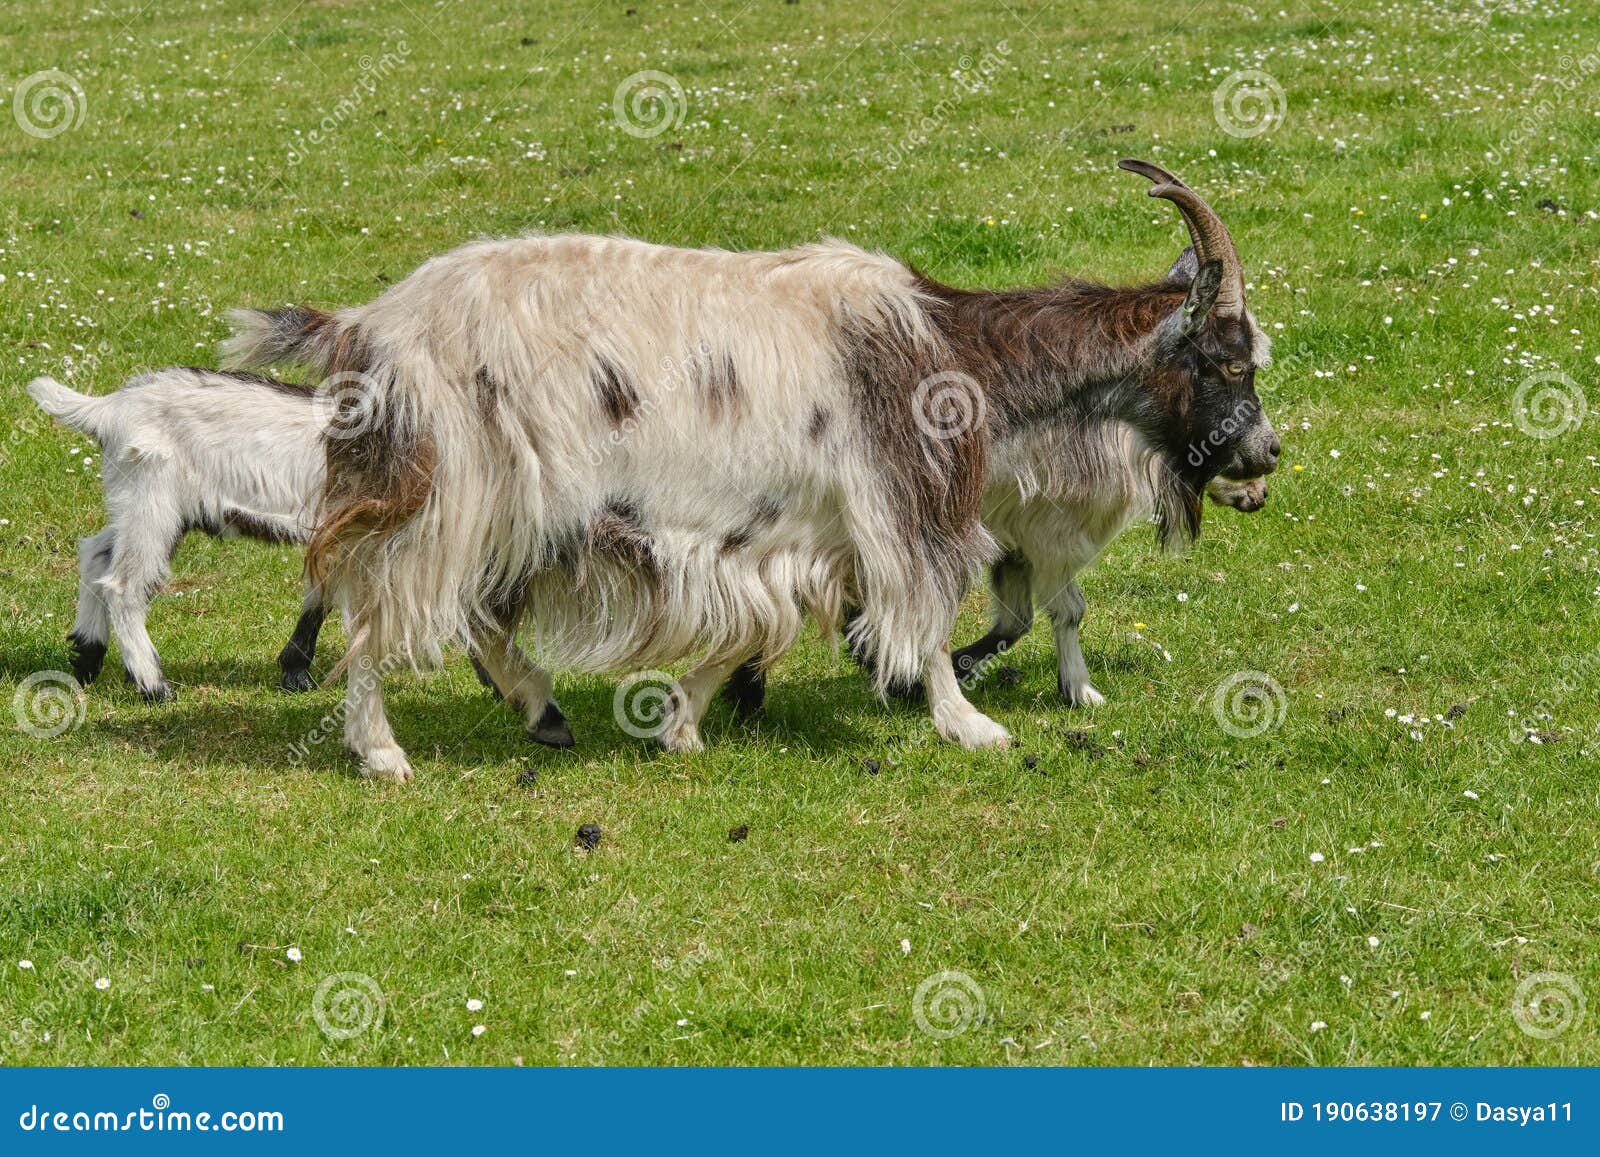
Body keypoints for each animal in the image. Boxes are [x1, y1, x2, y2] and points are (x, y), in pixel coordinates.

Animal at [222, 158, 1276, 782]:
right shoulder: (903, 508)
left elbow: (756, 628)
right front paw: (972, 725)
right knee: (380, 613)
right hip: (441, 497)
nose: (1265, 457)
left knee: (472, 612)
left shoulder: (796, 530)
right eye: (1229, 360)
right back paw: (382, 750)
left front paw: (683, 720)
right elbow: (928, 621)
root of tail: (364, 326)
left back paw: (541, 708)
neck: (954, 350)